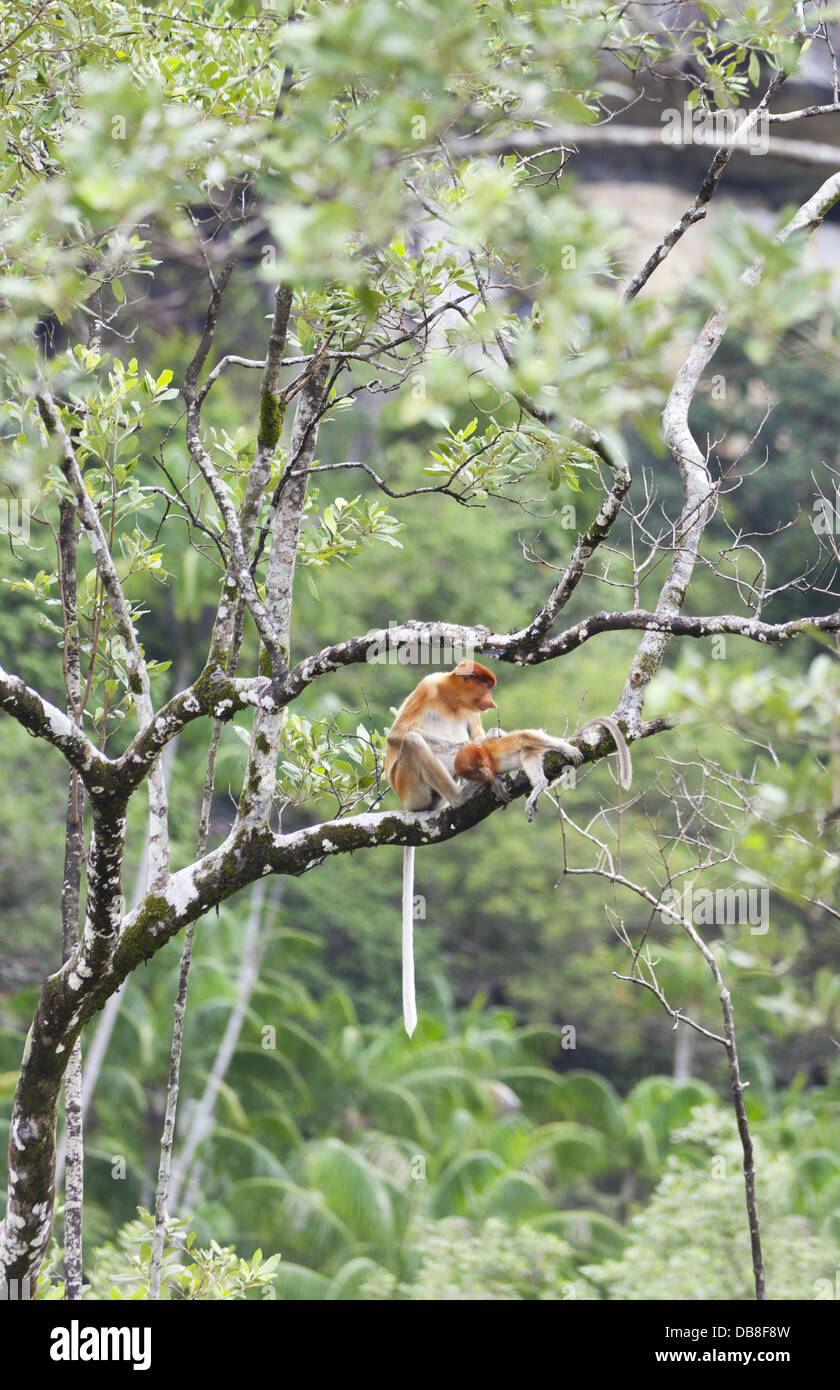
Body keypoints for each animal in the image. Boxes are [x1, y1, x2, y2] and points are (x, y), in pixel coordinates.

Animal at [385, 660, 498, 1035]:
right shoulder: (427, 686)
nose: (491, 702)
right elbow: (397, 736)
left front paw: (490, 738)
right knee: (413, 741)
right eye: (486, 687)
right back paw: (460, 795)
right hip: (410, 788)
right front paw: (477, 745)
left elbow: (475, 735)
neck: (452, 700)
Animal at [454, 716, 632, 821]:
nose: (481, 771)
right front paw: (495, 783)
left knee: (527, 749)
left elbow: (524, 736)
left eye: (475, 766)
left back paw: (540, 783)